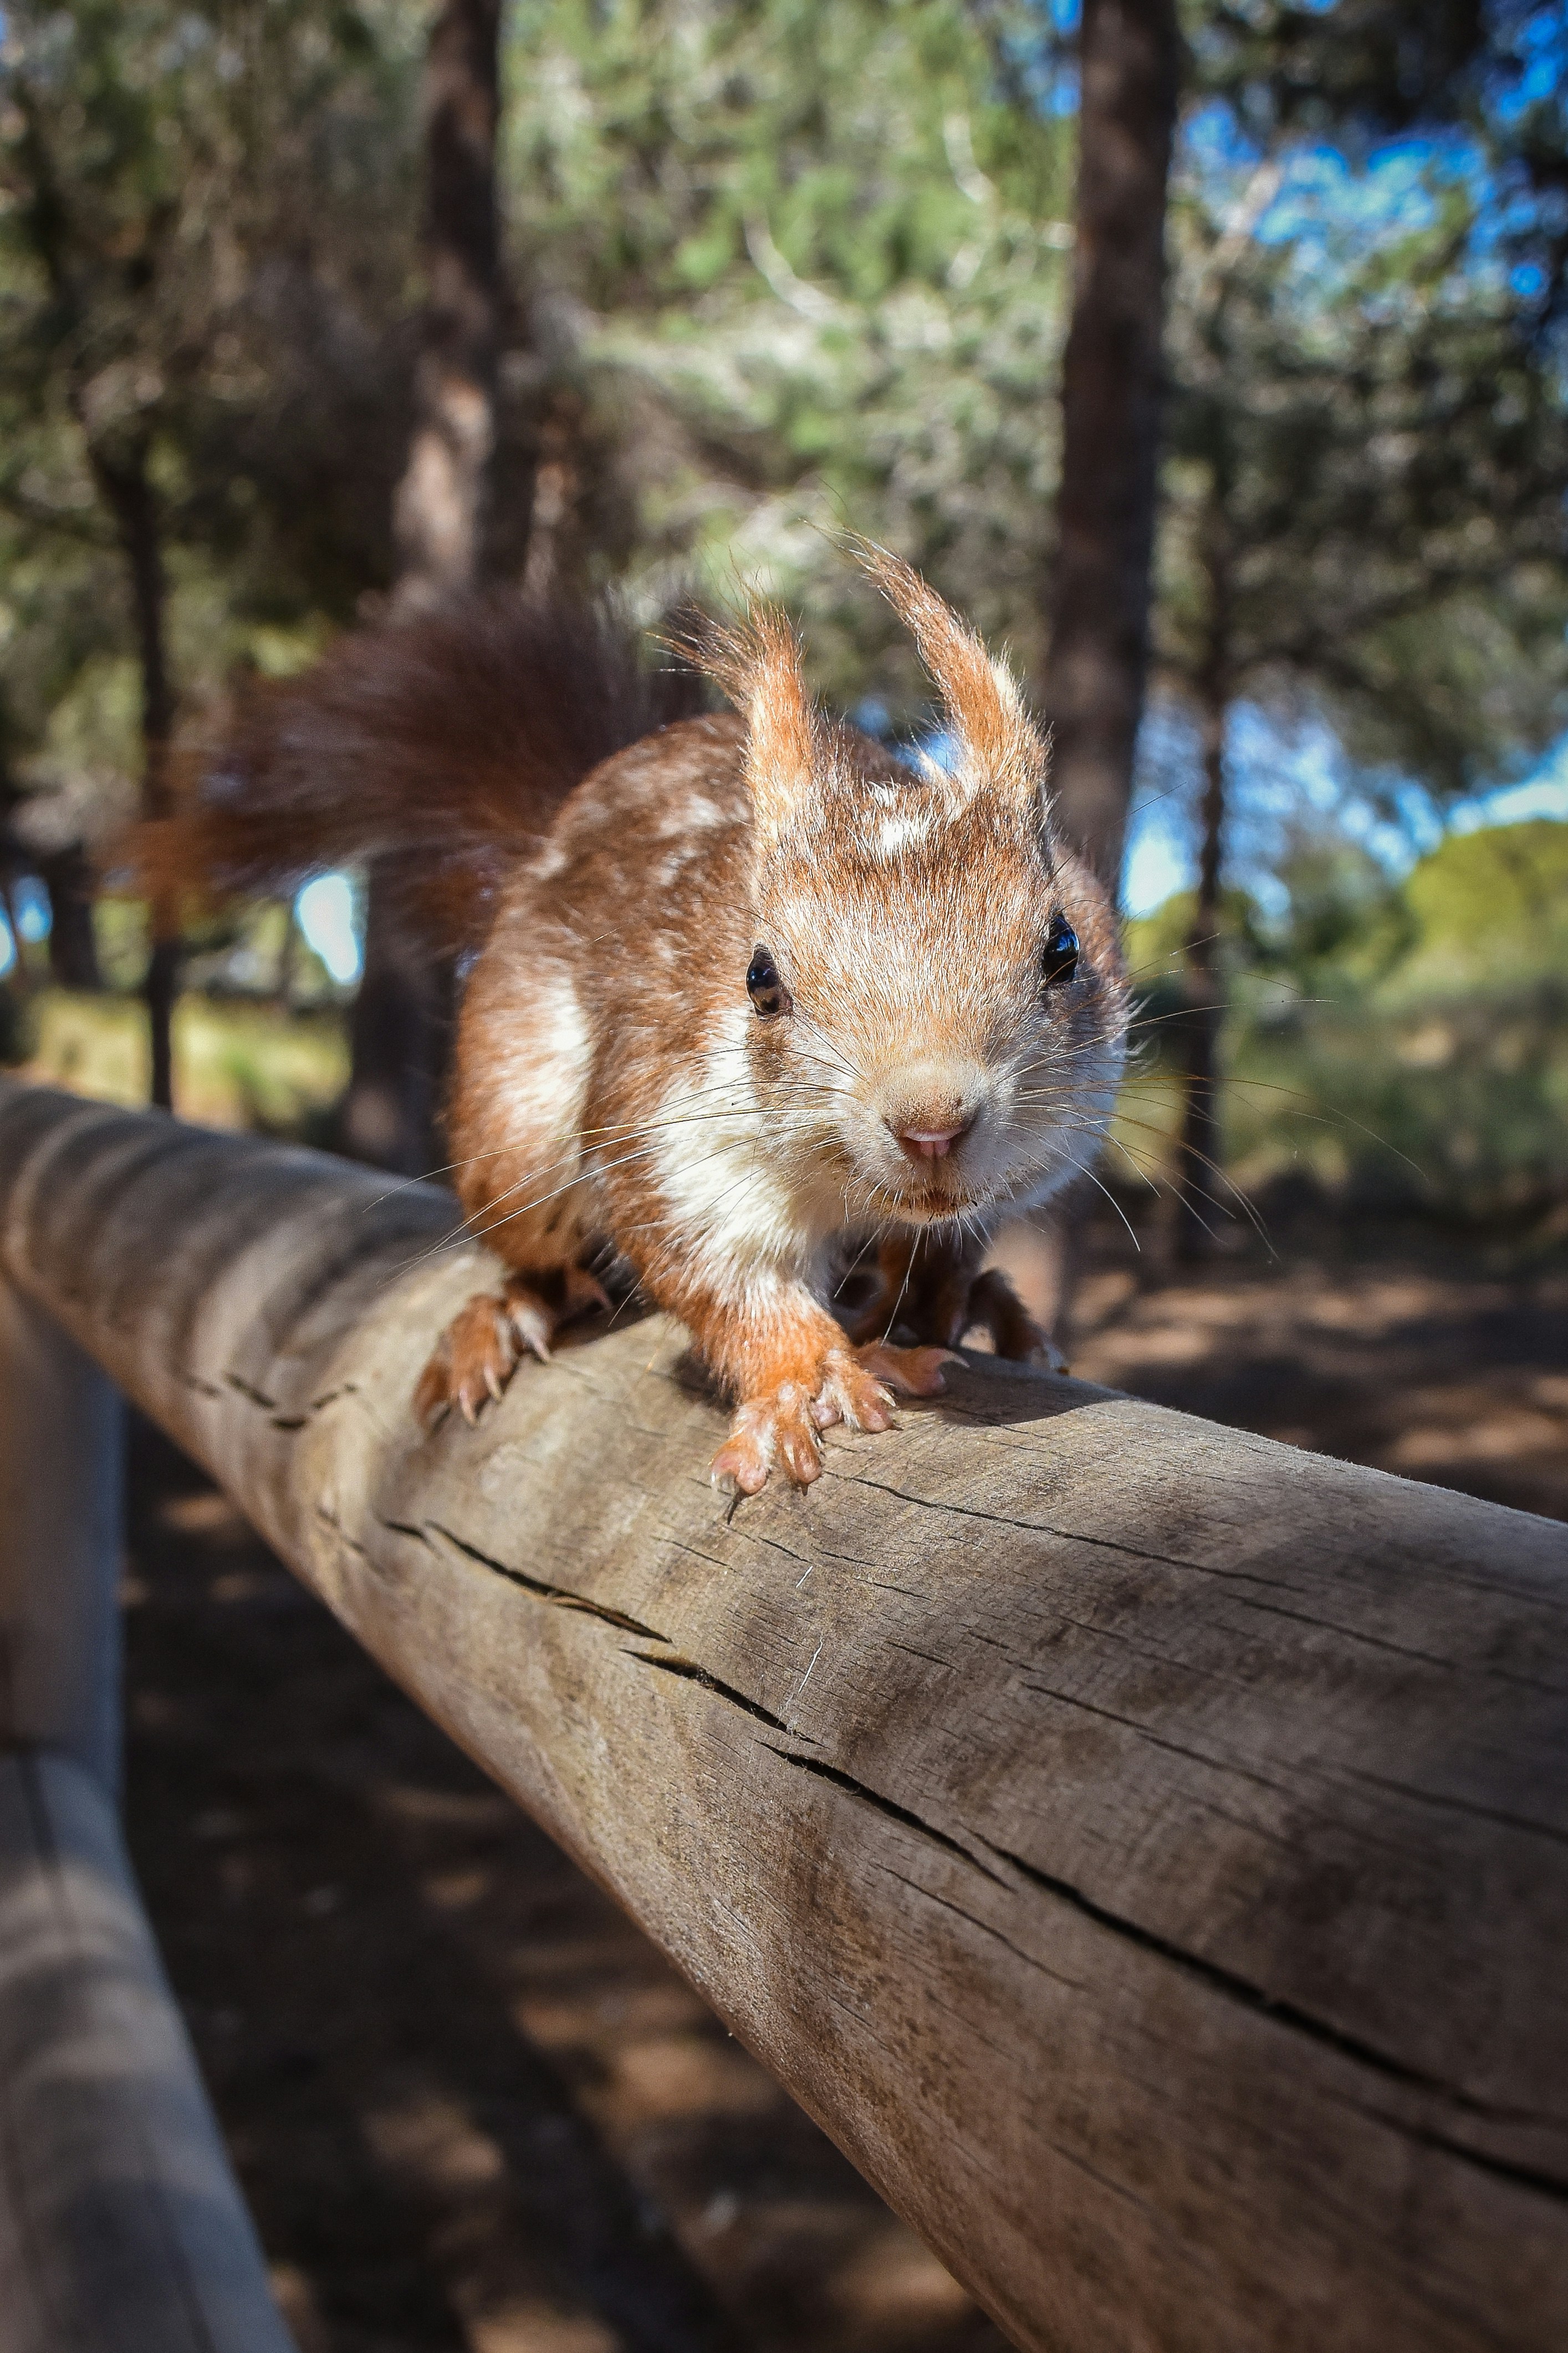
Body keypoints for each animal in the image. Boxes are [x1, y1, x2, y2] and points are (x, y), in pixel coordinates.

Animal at [145, 548, 1128, 1494]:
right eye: (760, 981)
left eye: (1064, 948)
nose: (931, 1124)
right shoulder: (665, 1116)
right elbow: (714, 1271)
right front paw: (803, 1376)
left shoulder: (1040, 1152)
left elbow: (947, 1251)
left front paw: (931, 1309)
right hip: (513, 1128)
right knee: (534, 1249)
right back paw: (508, 1313)